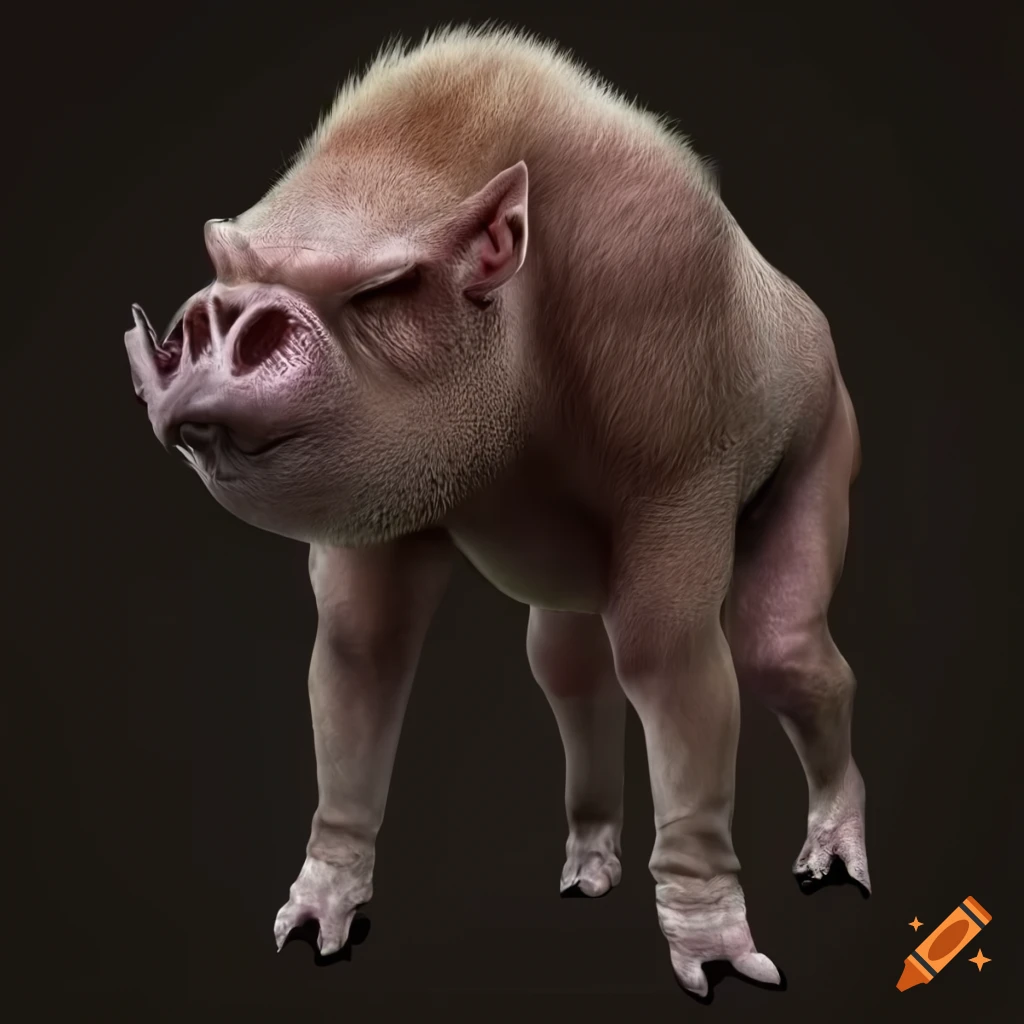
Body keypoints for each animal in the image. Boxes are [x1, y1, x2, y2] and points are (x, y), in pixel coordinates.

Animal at [124, 24, 869, 998]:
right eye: (229, 270)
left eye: (381, 289)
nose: (221, 316)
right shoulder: (379, 511)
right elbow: (362, 653)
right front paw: (319, 914)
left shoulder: (678, 436)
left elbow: (668, 658)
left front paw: (714, 954)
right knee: (566, 663)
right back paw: (587, 867)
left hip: (828, 424)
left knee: (782, 653)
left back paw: (835, 856)